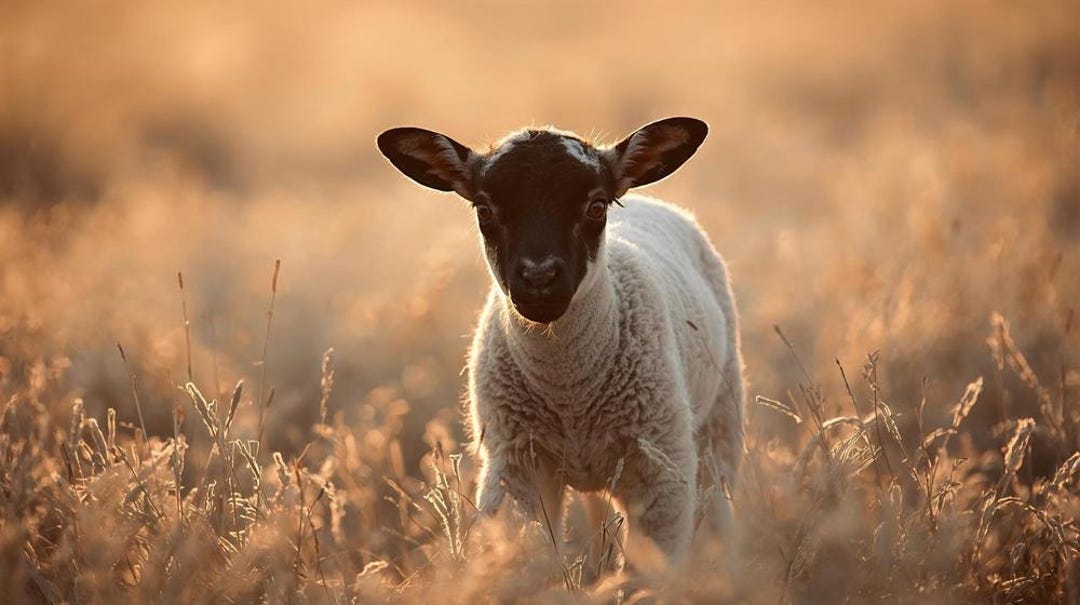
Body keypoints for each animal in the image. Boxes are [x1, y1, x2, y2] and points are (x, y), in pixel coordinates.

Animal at [376, 117, 744, 566]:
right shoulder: (516, 468)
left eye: (597, 206)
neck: (569, 391)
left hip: (720, 419)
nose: (539, 279)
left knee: (720, 510)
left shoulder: (660, 474)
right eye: (484, 209)